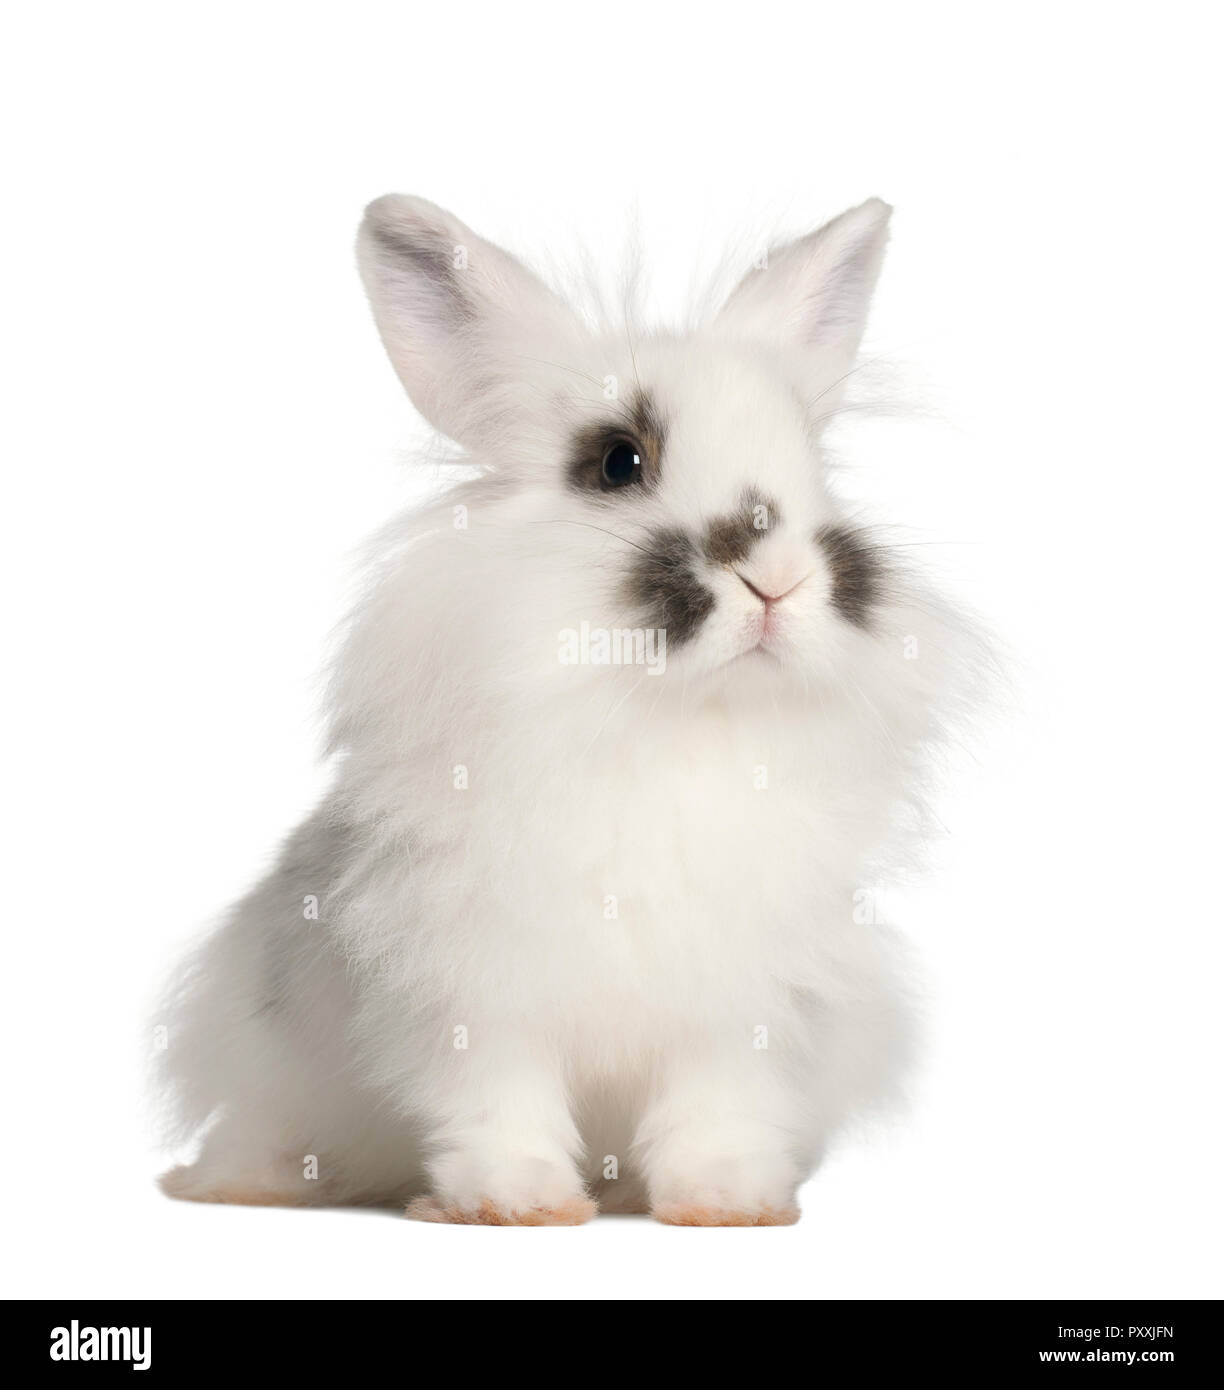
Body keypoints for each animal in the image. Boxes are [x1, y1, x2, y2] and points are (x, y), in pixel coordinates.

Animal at [154, 193, 983, 1225]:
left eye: (814, 469)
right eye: (617, 463)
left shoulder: (736, 1011)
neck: (671, 720)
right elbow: (499, 1104)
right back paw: (235, 1186)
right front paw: (517, 1203)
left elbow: (716, 1108)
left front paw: (728, 1202)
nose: (780, 577)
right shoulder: (476, 994)